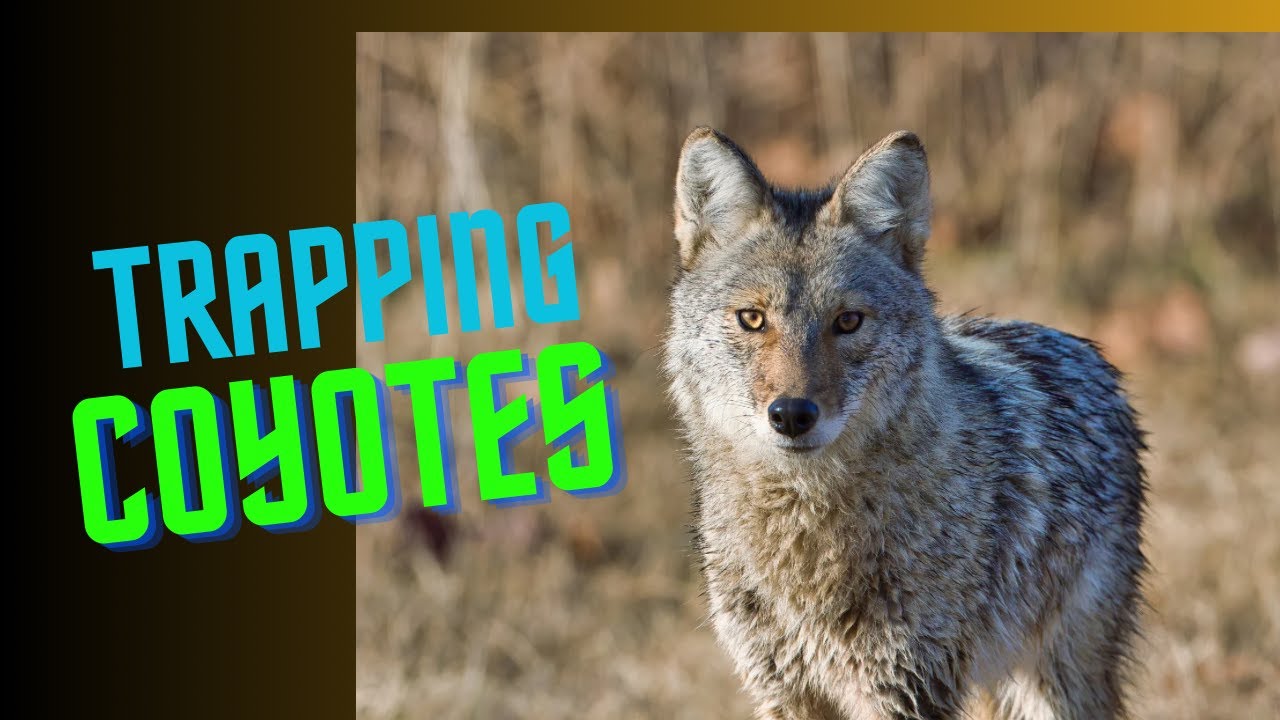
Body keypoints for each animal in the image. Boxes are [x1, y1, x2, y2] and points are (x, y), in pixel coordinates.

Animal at [662, 127, 1148, 720]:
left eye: (848, 321)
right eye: (752, 319)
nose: (792, 415)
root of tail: (1086, 350)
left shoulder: (908, 685)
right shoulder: (783, 689)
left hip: (1058, 680)